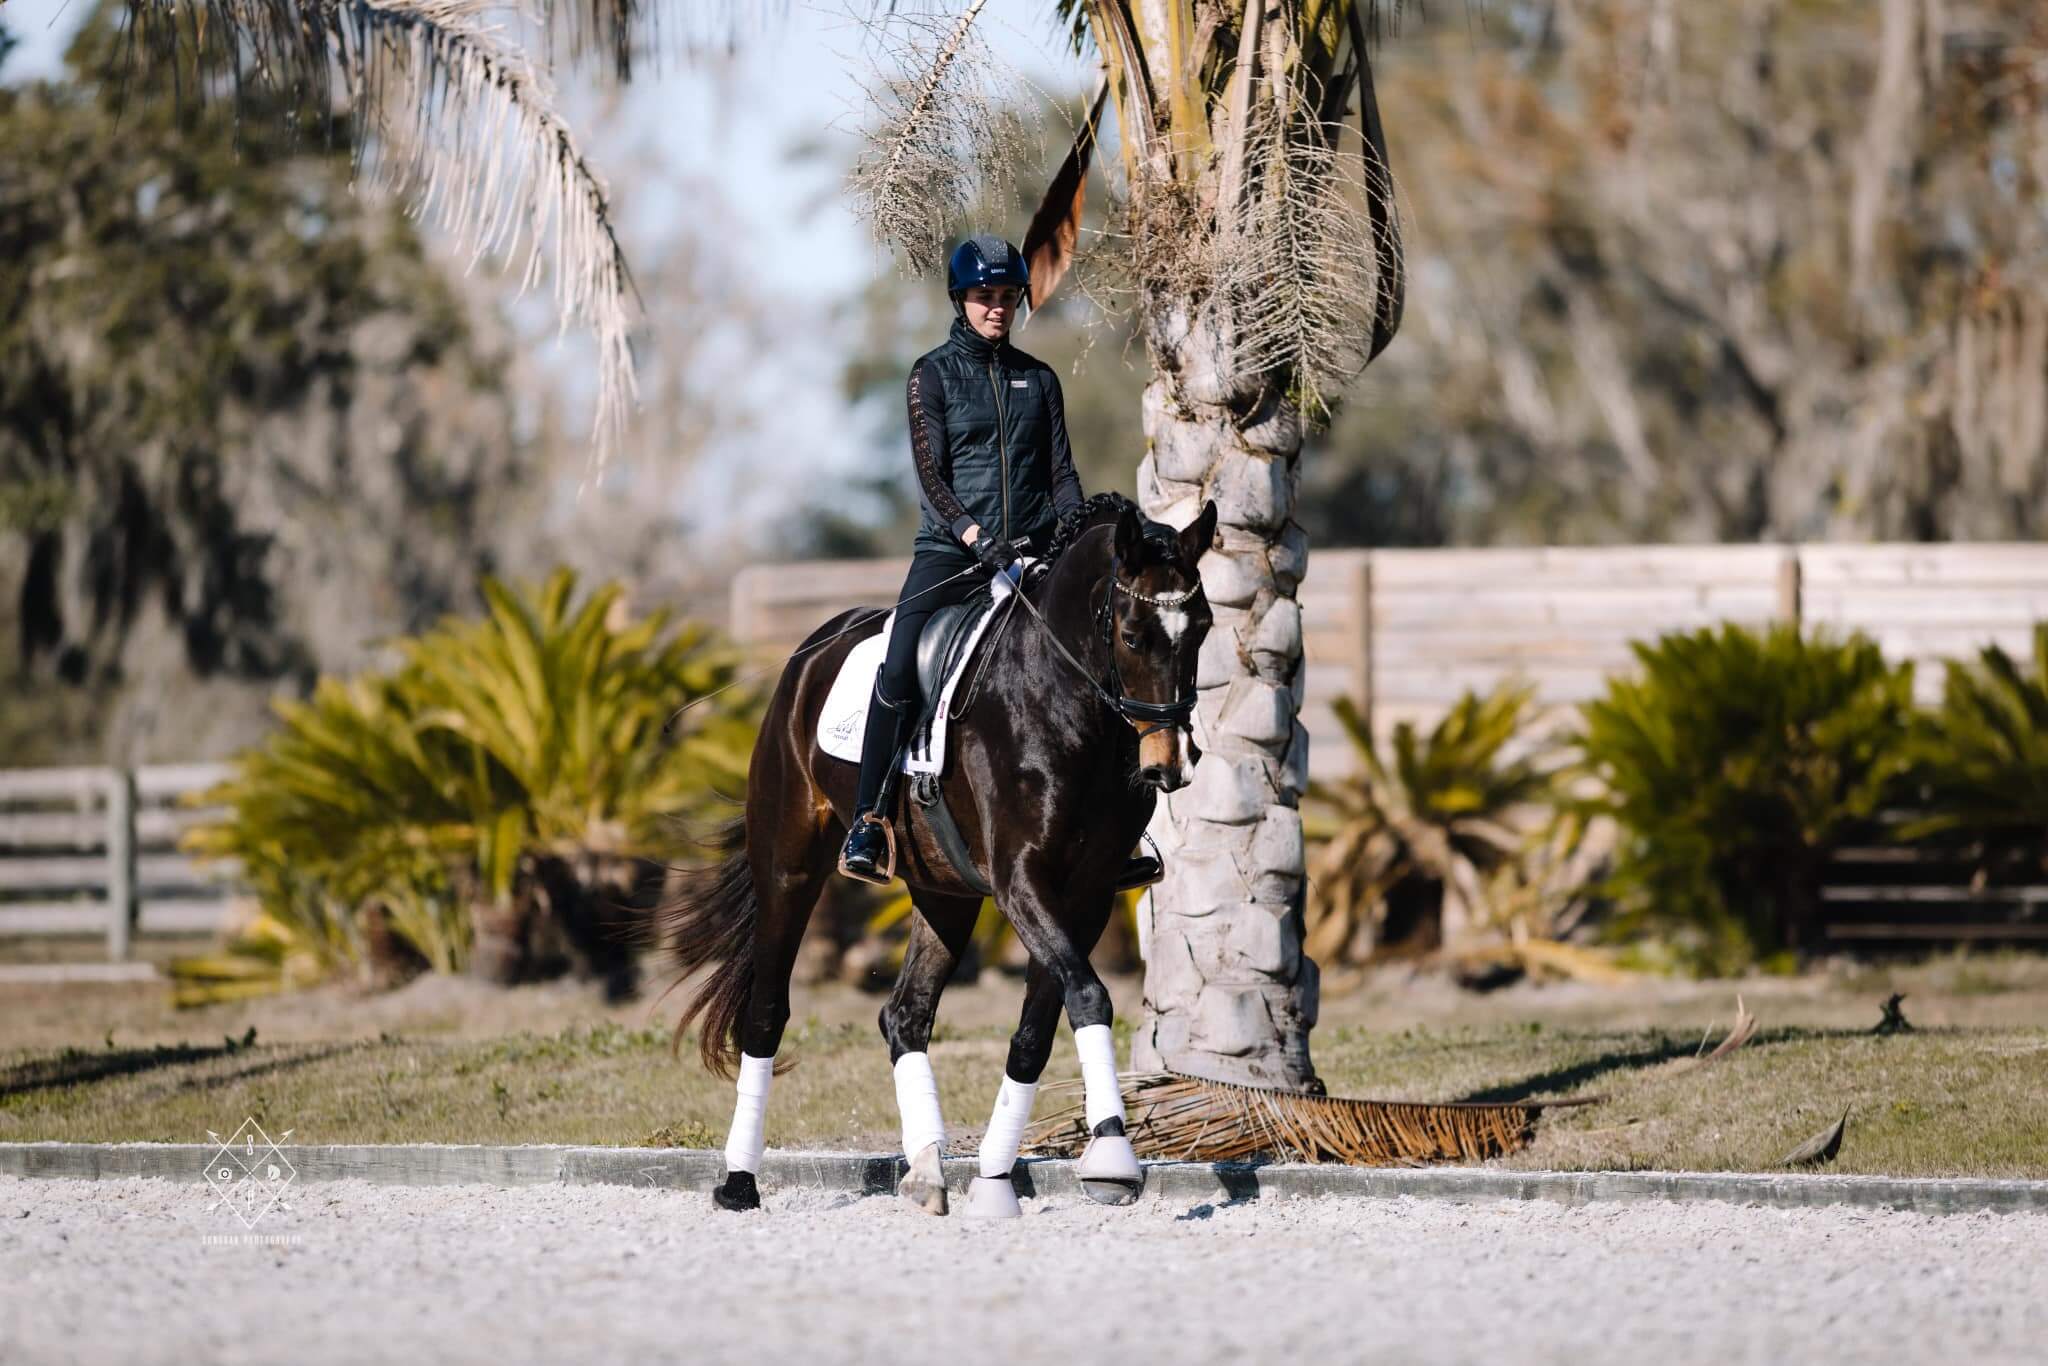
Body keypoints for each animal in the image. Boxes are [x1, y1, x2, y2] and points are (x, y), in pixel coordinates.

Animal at [660, 493, 1218, 1217]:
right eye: (1130, 634)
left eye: (1202, 628)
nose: (1170, 765)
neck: (1060, 702)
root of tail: (810, 654)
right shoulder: (1020, 881)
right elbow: (1090, 996)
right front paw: (1114, 1159)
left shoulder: (1088, 891)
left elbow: (1043, 1024)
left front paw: (995, 1182)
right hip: (789, 864)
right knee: (766, 1012)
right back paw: (738, 1181)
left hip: (943, 893)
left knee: (905, 1015)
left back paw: (926, 1169)